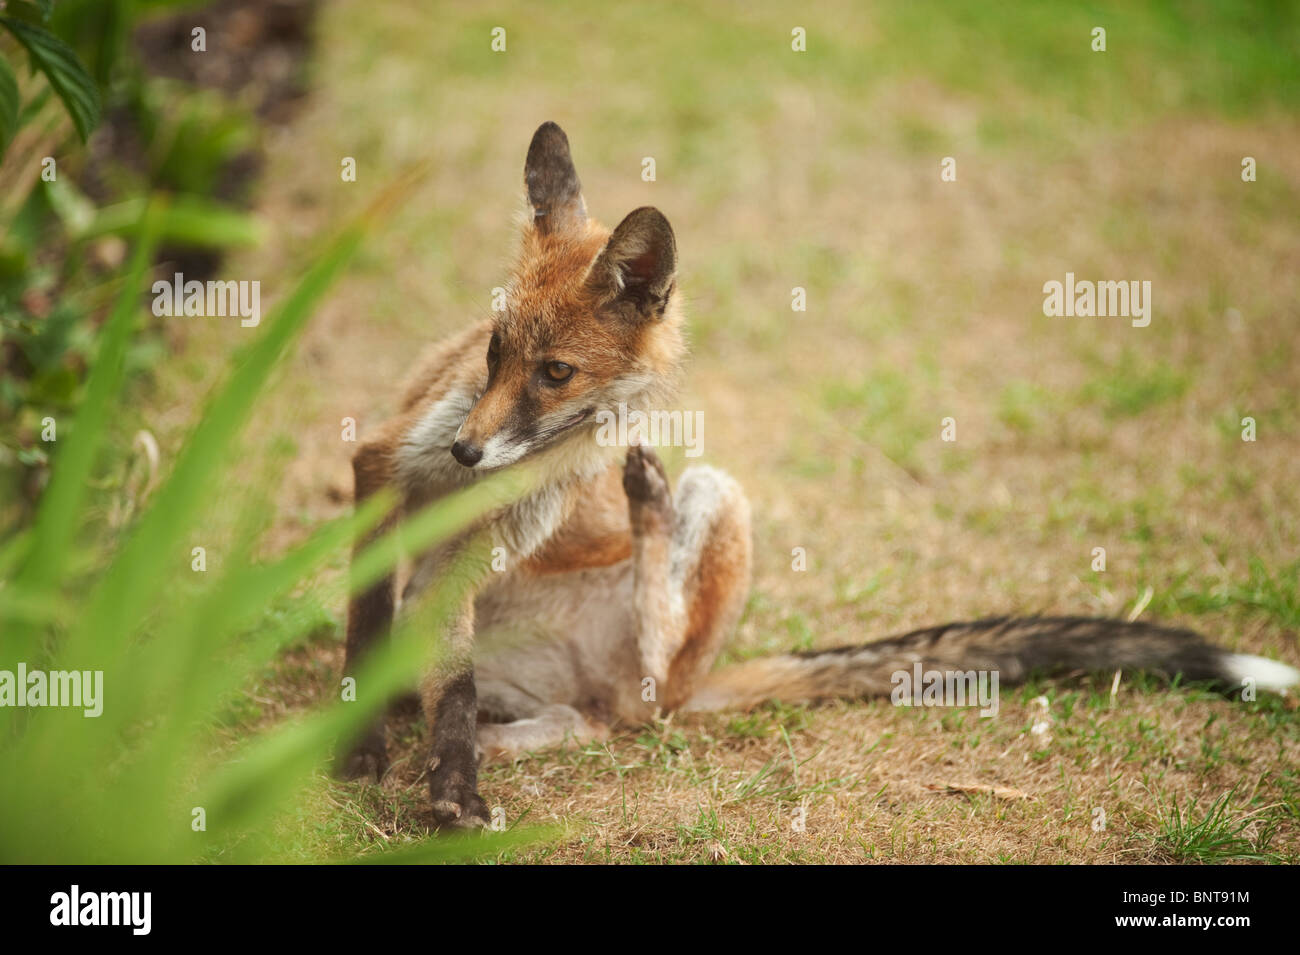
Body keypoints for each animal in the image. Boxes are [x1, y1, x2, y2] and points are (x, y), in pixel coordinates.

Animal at [338, 121, 1300, 829]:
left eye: (555, 373)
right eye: (494, 351)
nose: (468, 453)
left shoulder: (500, 522)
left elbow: (452, 688)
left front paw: (446, 780)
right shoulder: (388, 460)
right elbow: (376, 626)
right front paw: (372, 751)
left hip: (718, 503)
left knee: (645, 688)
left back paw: (647, 516)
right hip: (483, 622)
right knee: (585, 716)